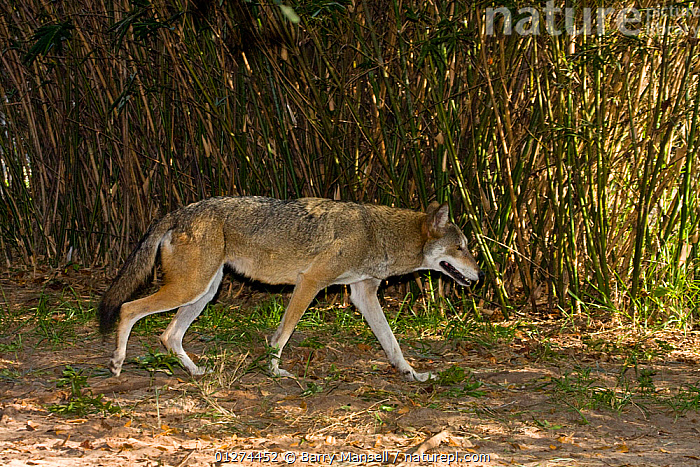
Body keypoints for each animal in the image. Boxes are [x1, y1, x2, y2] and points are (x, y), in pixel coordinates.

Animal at [99, 196, 484, 382]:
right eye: (462, 247)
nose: (479, 276)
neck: (378, 234)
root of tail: (179, 211)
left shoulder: (363, 294)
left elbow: (393, 345)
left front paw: (412, 374)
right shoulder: (309, 283)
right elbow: (281, 335)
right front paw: (273, 370)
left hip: (204, 292)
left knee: (169, 335)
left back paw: (195, 373)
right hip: (190, 289)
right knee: (128, 309)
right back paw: (117, 363)